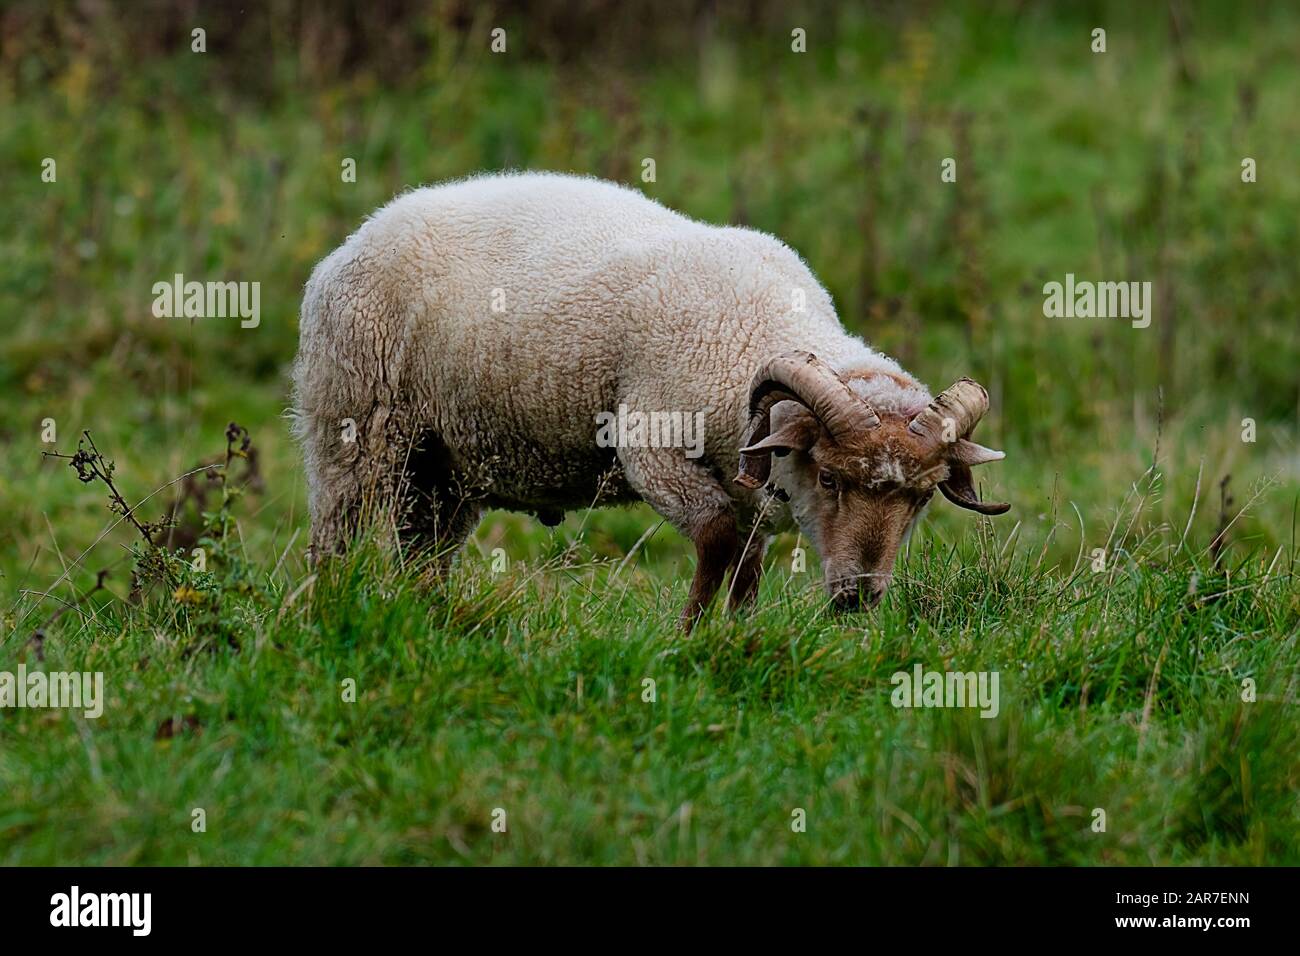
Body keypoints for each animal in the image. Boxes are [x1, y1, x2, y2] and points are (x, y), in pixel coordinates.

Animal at [291, 172, 1009, 627]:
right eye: (829, 477)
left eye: (920, 499)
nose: (857, 598)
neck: (755, 331)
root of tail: (353, 240)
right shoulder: (653, 446)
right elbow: (718, 540)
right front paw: (688, 635)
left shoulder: (745, 476)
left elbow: (748, 562)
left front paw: (735, 633)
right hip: (353, 428)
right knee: (333, 539)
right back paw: (328, 608)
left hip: (442, 469)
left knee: (424, 557)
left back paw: (431, 620)